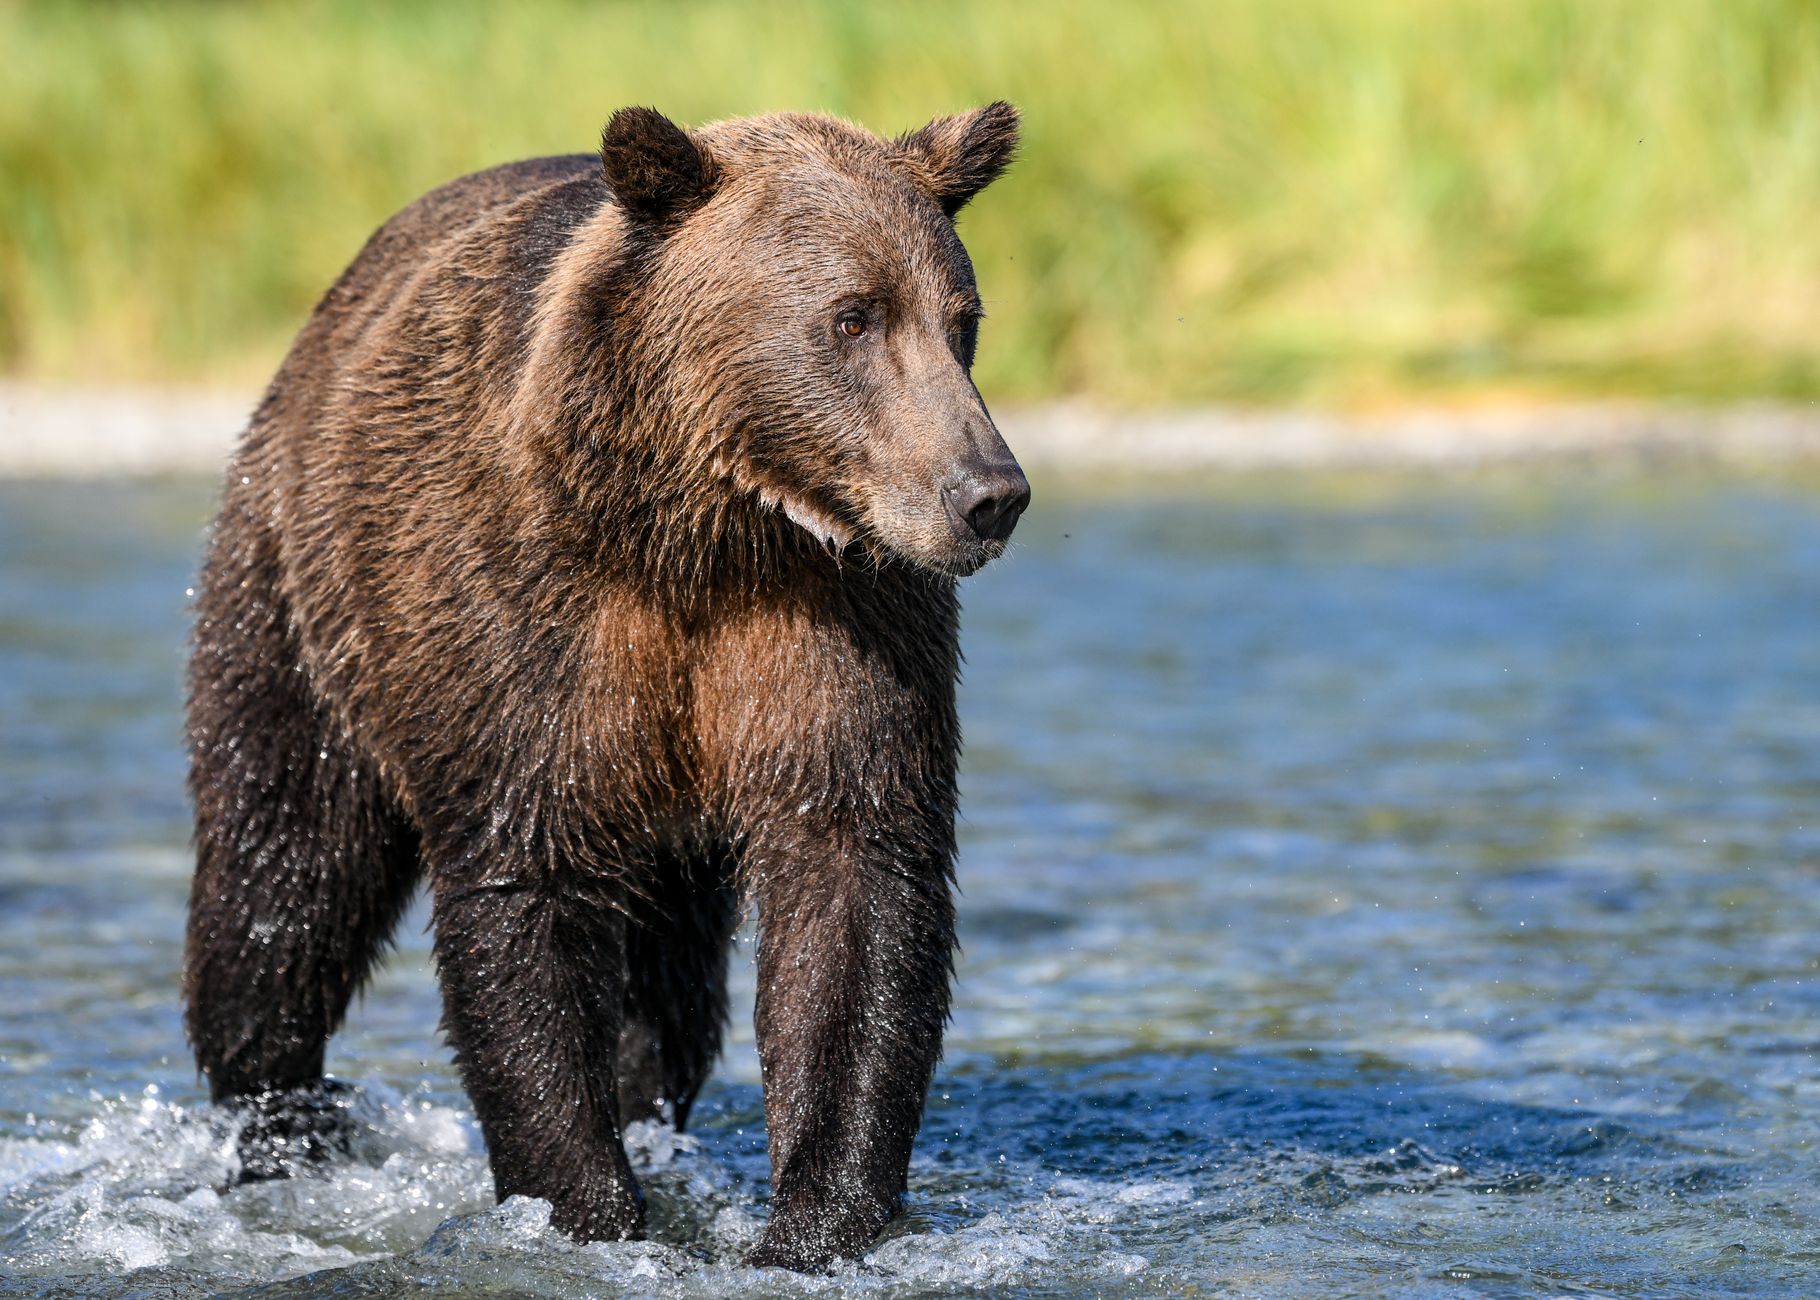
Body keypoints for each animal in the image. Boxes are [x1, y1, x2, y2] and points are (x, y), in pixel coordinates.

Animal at [181, 103, 1028, 1271]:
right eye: (853, 317)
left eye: (962, 318)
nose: (988, 493)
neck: (700, 536)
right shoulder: (528, 627)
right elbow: (526, 897)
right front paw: (581, 1210)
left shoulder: (832, 634)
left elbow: (853, 889)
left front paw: (813, 1219)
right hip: (298, 602)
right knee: (283, 868)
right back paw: (276, 1126)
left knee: (664, 988)